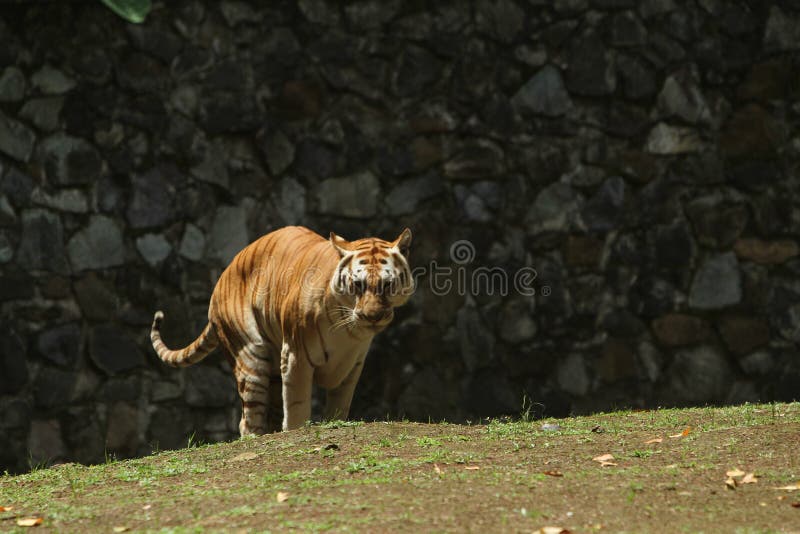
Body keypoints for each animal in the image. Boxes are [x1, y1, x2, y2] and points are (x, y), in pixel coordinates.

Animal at [150, 226, 414, 435]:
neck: (348, 329)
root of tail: (221, 278)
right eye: (358, 285)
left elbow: (340, 403)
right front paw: (296, 430)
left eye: (387, 285)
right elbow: (297, 404)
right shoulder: (296, 356)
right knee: (248, 419)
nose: (372, 316)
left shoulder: (353, 364)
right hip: (250, 357)